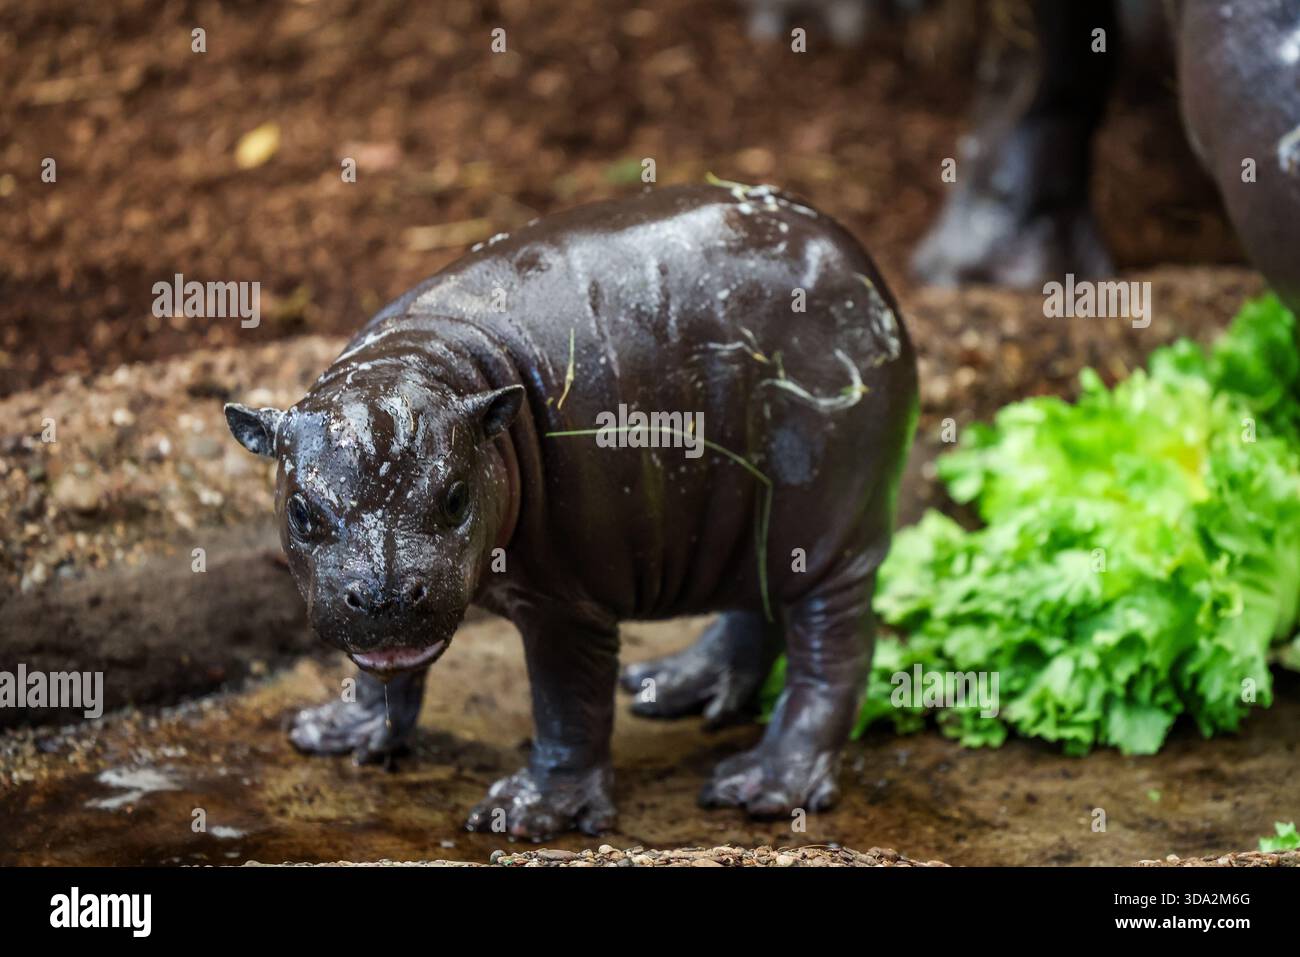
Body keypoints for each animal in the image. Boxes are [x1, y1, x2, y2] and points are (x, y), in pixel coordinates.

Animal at [225, 183, 917, 839]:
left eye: (456, 497)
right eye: (301, 510)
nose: (387, 594)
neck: (426, 360)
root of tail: (865, 266)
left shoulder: (569, 604)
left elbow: (569, 704)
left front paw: (530, 811)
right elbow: (382, 672)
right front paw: (333, 733)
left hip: (830, 528)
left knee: (834, 649)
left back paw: (762, 786)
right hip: (755, 520)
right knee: (761, 602)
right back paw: (674, 687)